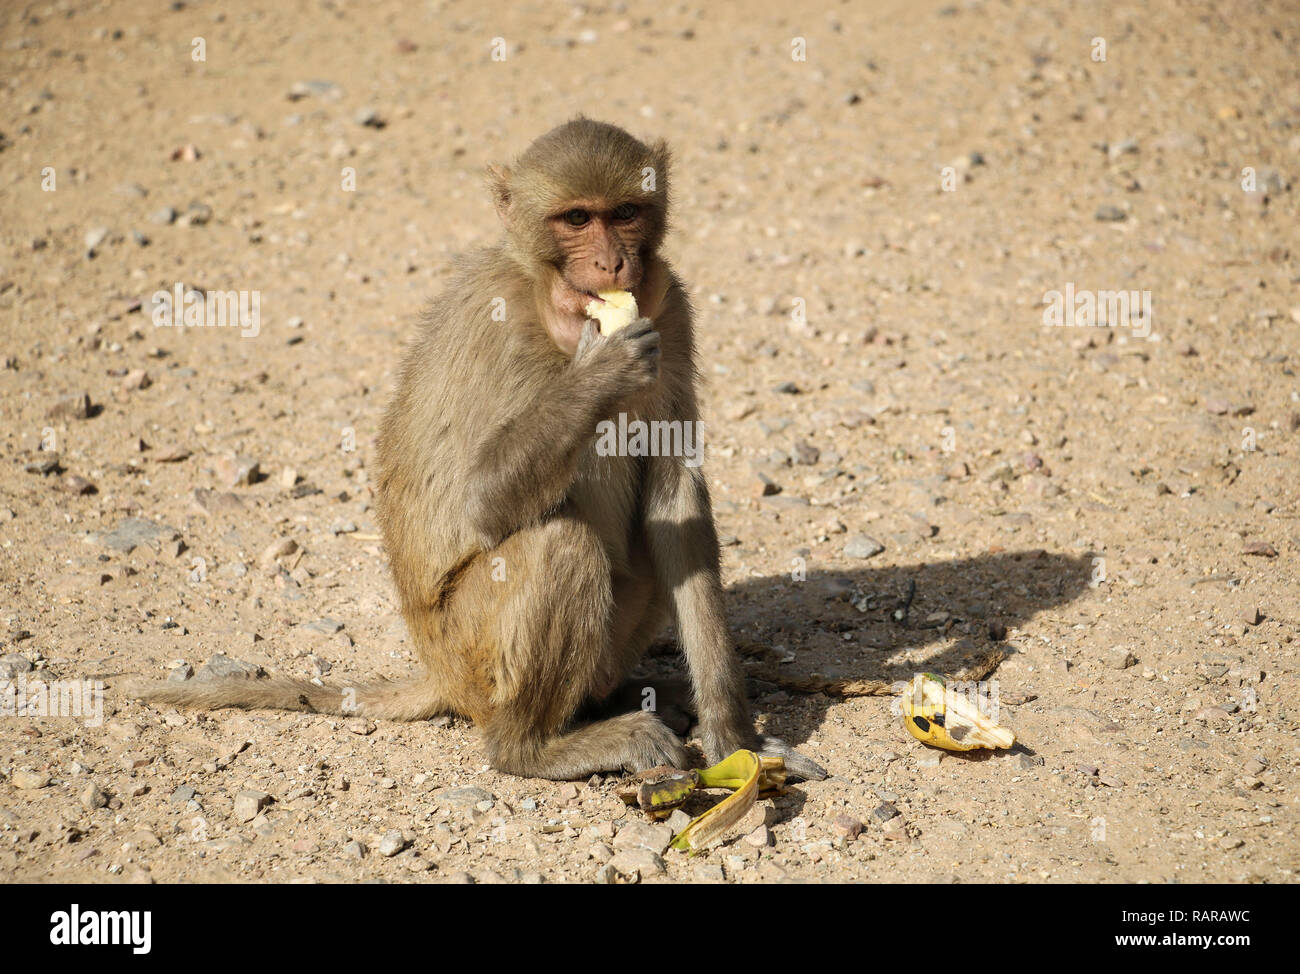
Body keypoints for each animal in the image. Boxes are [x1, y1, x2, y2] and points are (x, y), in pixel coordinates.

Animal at [130, 118, 826, 783]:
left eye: (625, 212)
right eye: (577, 219)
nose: (611, 264)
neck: (555, 308)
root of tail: (440, 674)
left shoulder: (672, 312)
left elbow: (675, 507)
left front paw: (736, 739)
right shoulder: (497, 327)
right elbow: (481, 500)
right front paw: (602, 370)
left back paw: (620, 699)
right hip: (471, 656)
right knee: (559, 546)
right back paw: (534, 749)